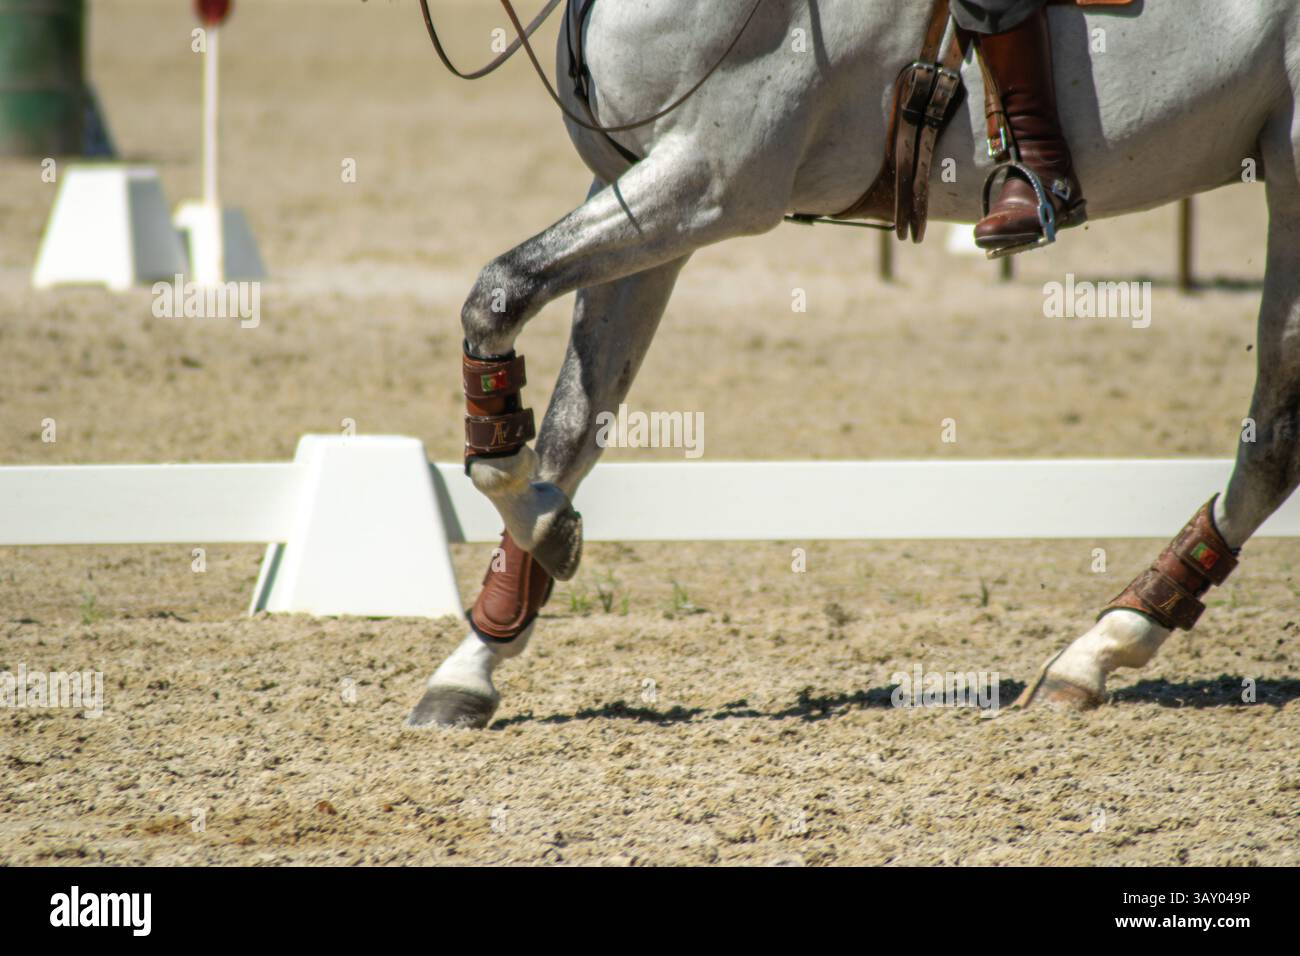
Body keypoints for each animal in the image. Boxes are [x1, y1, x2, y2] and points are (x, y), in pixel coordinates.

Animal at [406, 0, 1300, 728]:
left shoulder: (708, 185)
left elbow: (496, 299)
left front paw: (548, 537)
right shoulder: (630, 191)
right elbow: (564, 425)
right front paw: (478, 657)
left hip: (1290, 172)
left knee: (1272, 439)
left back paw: (1105, 646)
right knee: (1276, 441)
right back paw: (1099, 653)